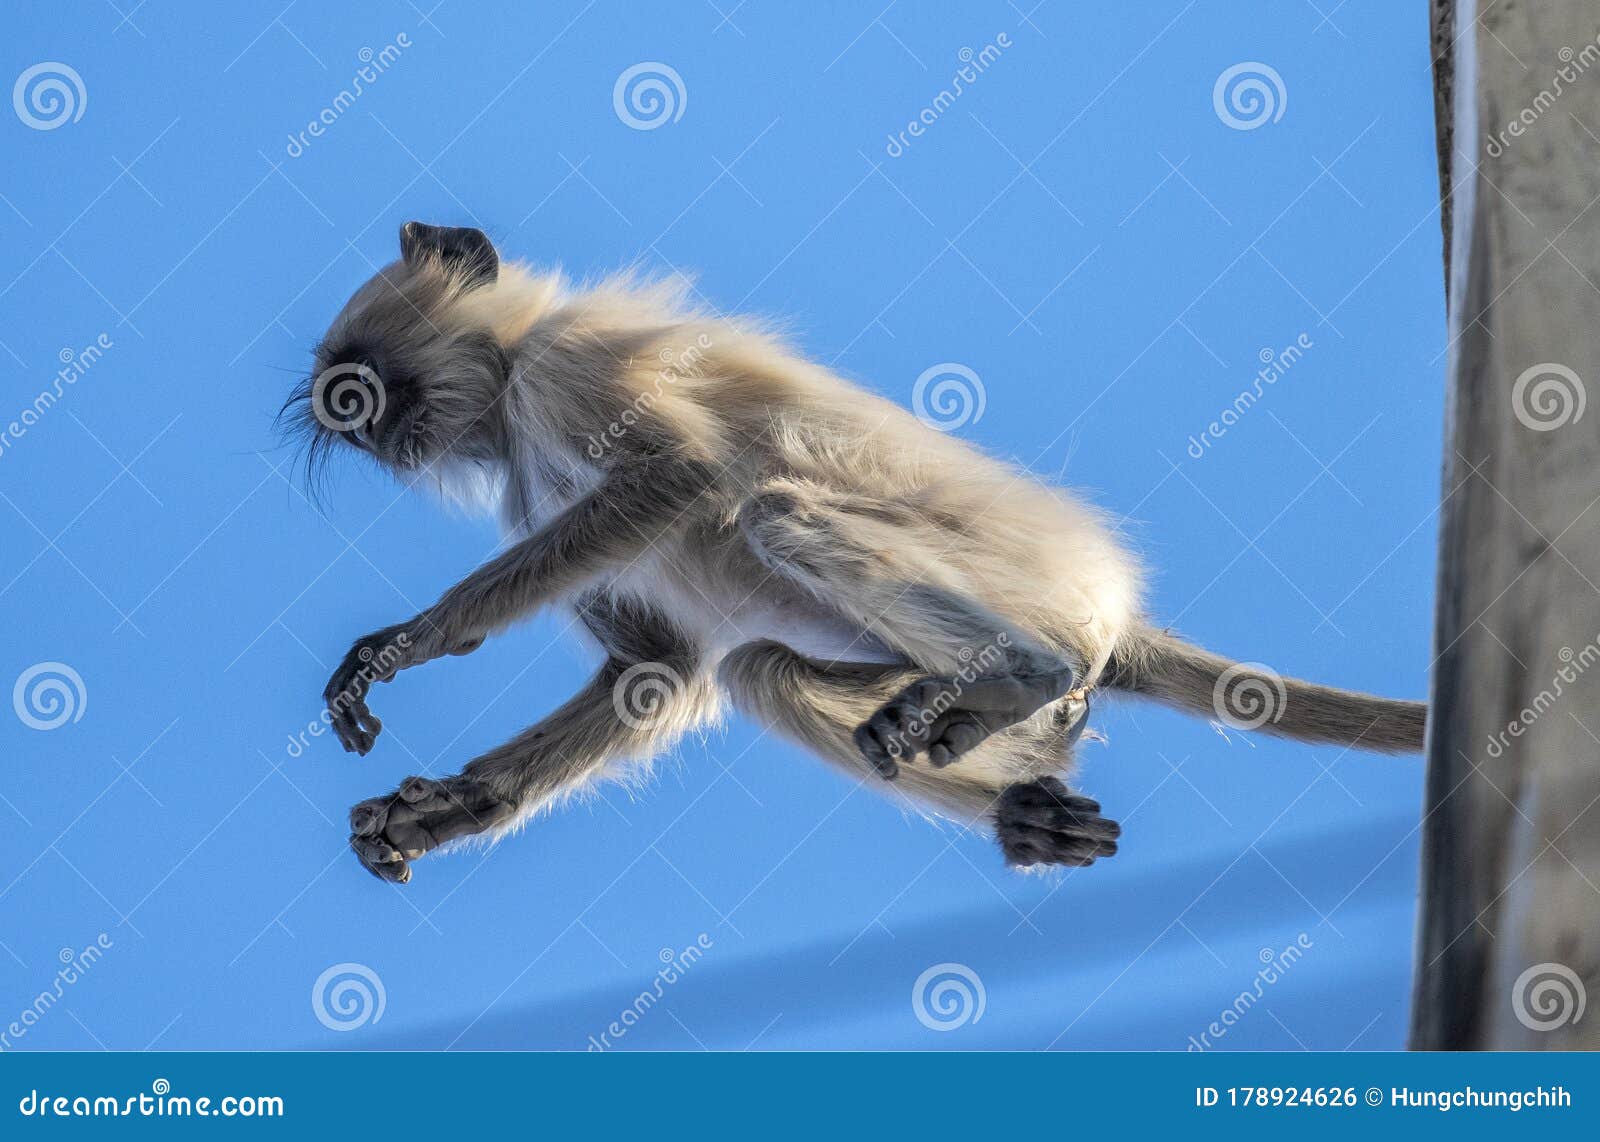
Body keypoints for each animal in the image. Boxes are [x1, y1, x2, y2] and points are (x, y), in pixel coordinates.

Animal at [282, 221, 1427, 885]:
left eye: (360, 387)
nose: (355, 422)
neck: (515, 370)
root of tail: (1113, 610)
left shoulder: (564, 371)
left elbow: (680, 479)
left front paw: (406, 644)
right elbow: (659, 670)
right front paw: (445, 812)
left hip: (1030, 589)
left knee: (775, 515)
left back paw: (1022, 675)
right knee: (759, 669)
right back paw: (1018, 804)